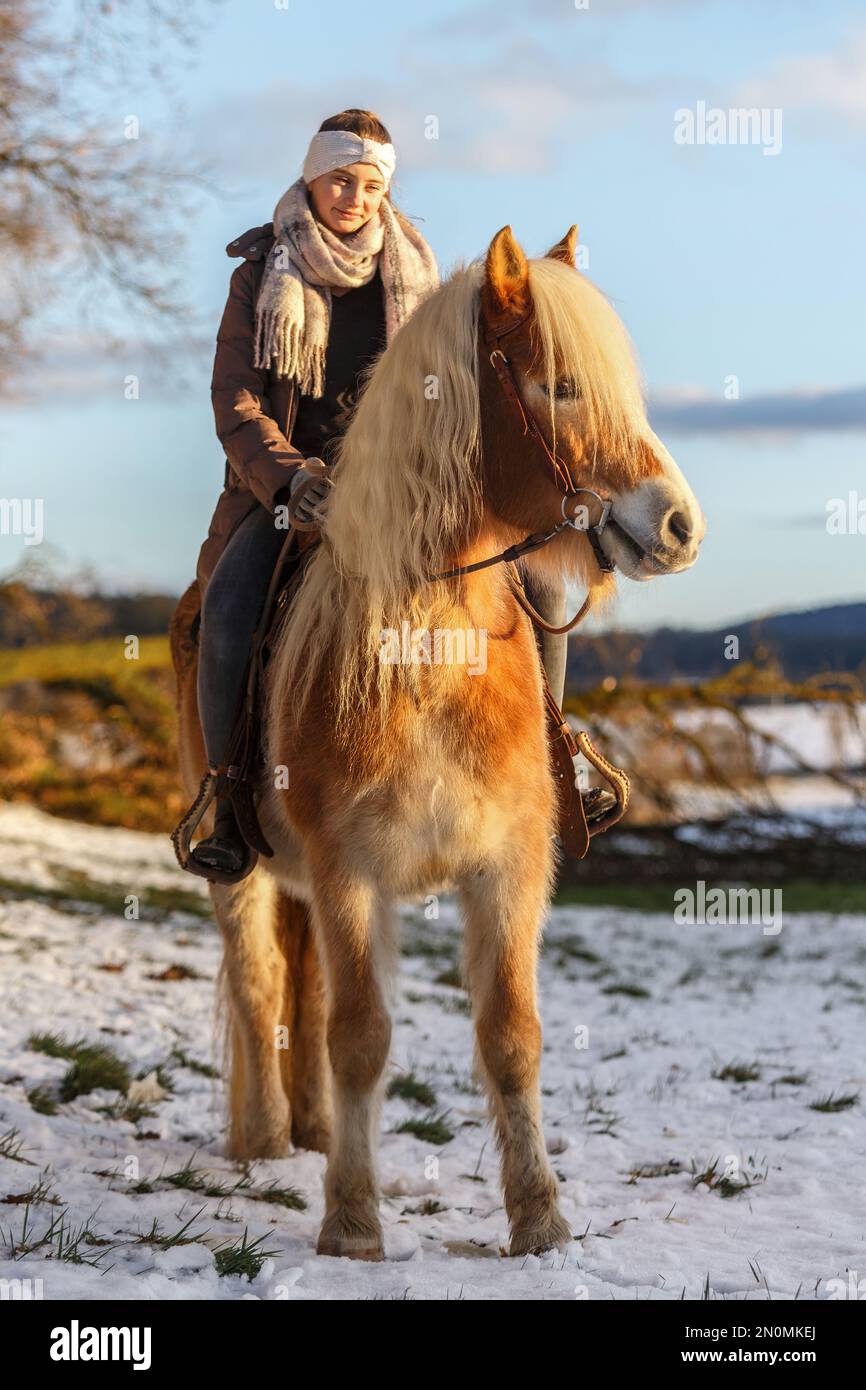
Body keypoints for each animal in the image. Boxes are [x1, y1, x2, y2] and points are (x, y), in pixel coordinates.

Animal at [170, 223, 704, 1260]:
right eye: (562, 386)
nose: (677, 524)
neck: (425, 658)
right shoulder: (348, 871)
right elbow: (360, 1037)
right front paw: (351, 1223)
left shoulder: (509, 864)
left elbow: (510, 1036)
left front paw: (539, 1220)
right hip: (244, 869)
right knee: (260, 983)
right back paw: (266, 1142)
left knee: (299, 993)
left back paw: (312, 1131)